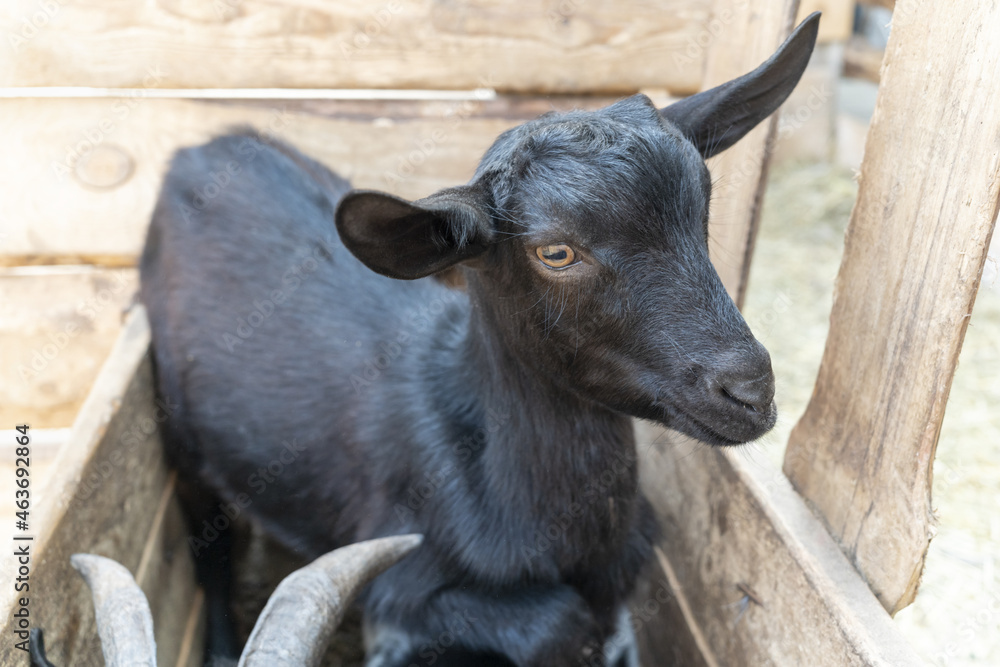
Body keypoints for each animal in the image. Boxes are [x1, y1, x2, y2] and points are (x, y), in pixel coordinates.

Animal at [139, 14, 818, 666]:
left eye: (702, 205)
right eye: (556, 251)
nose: (751, 390)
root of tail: (199, 150)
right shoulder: (398, 578)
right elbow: (556, 622)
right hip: (182, 433)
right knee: (211, 551)